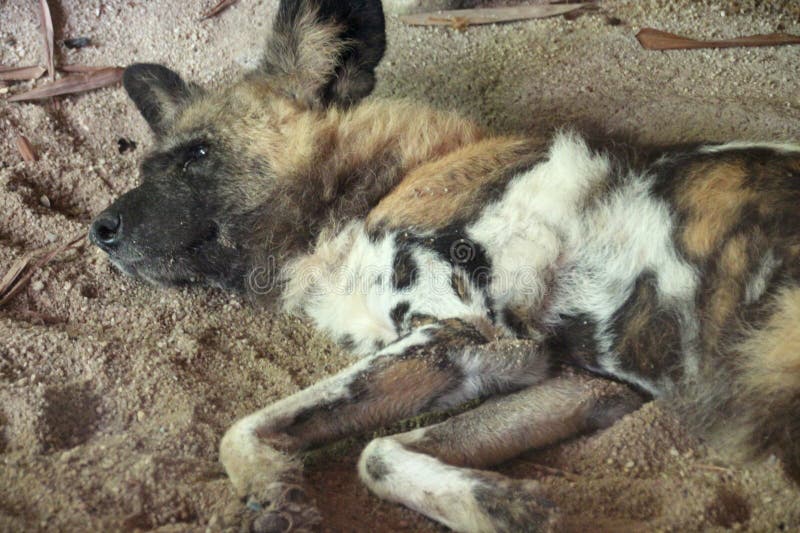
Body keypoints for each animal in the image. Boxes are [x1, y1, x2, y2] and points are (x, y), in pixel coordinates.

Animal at [89, 0, 800, 531]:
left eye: (198, 154)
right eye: (146, 168)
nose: (99, 229)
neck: (378, 190)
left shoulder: (465, 334)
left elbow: (307, 438)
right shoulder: (577, 383)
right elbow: (366, 447)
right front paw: (496, 504)